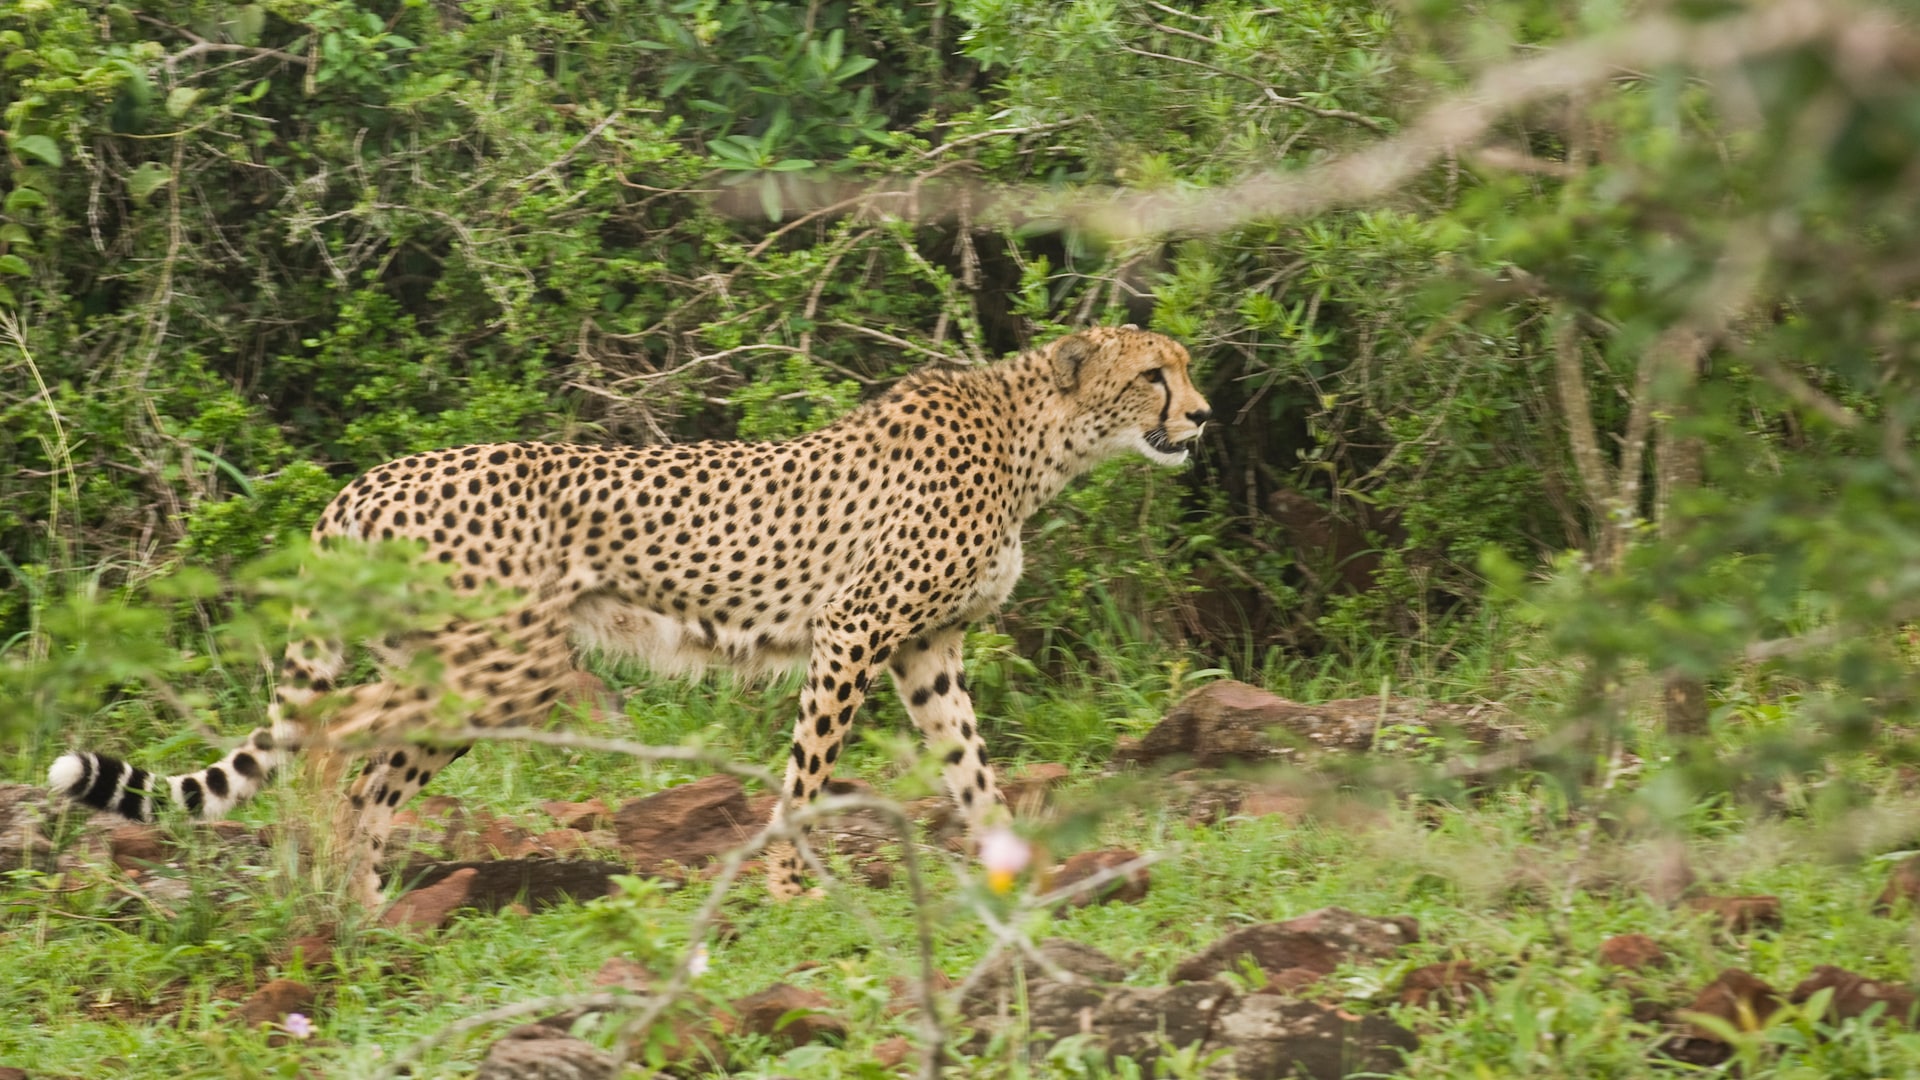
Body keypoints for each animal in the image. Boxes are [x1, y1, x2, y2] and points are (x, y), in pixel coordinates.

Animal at [49, 326, 1212, 905]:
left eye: (1185, 370)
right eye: (1154, 375)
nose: (1201, 417)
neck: (1036, 441)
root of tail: (366, 481)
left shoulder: (926, 652)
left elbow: (975, 775)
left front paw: (1031, 877)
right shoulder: (851, 637)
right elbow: (803, 783)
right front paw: (785, 890)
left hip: (469, 677)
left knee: (372, 776)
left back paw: (365, 907)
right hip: (499, 662)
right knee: (335, 736)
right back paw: (319, 881)